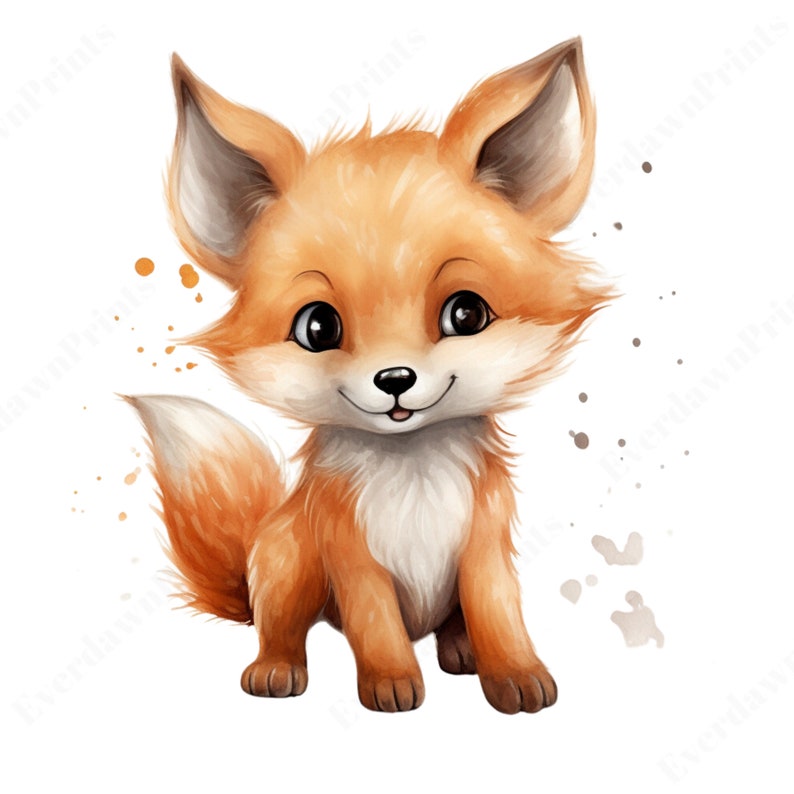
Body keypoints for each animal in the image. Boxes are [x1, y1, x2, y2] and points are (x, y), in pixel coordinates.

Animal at [128, 37, 611, 714]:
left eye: (466, 314)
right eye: (318, 328)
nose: (394, 378)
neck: (412, 475)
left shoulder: (483, 548)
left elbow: (498, 614)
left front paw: (515, 674)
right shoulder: (351, 555)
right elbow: (375, 620)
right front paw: (389, 681)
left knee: (453, 625)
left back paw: (459, 652)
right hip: (288, 562)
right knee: (281, 627)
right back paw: (276, 669)